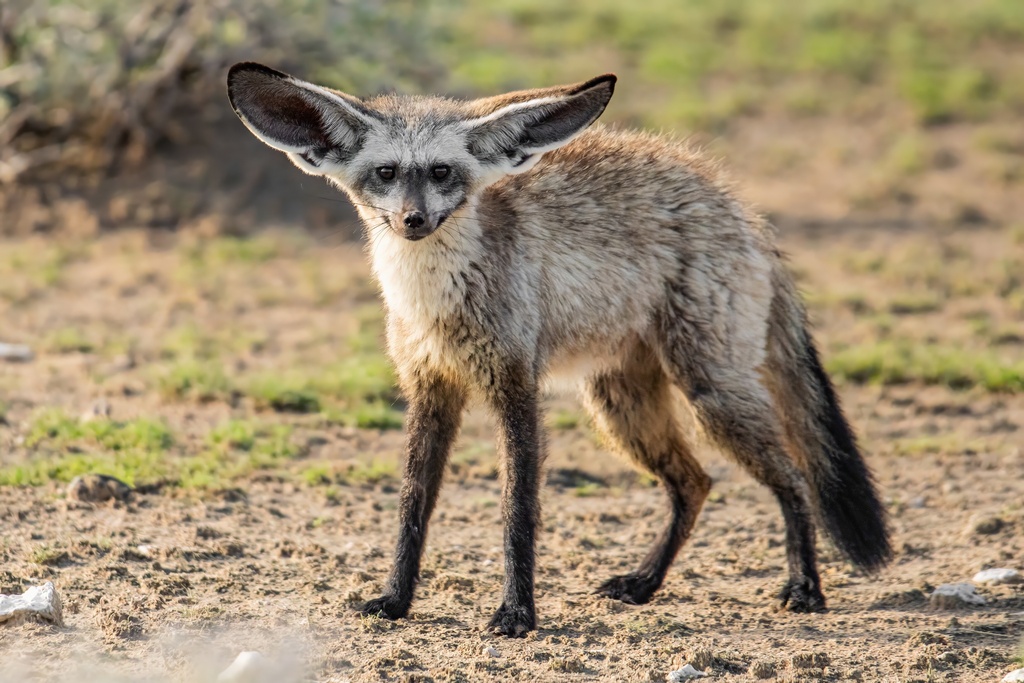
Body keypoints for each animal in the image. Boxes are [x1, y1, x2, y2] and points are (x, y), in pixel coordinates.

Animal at [226, 62, 892, 637]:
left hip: (710, 393)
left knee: (794, 479)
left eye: (442, 173)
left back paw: (805, 587)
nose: (414, 221)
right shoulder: (430, 390)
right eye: (386, 173)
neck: (437, 305)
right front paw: (395, 600)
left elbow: (518, 512)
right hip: (621, 407)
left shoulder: (516, 386)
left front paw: (517, 614)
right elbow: (412, 509)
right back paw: (645, 583)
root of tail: (743, 209)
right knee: (695, 482)